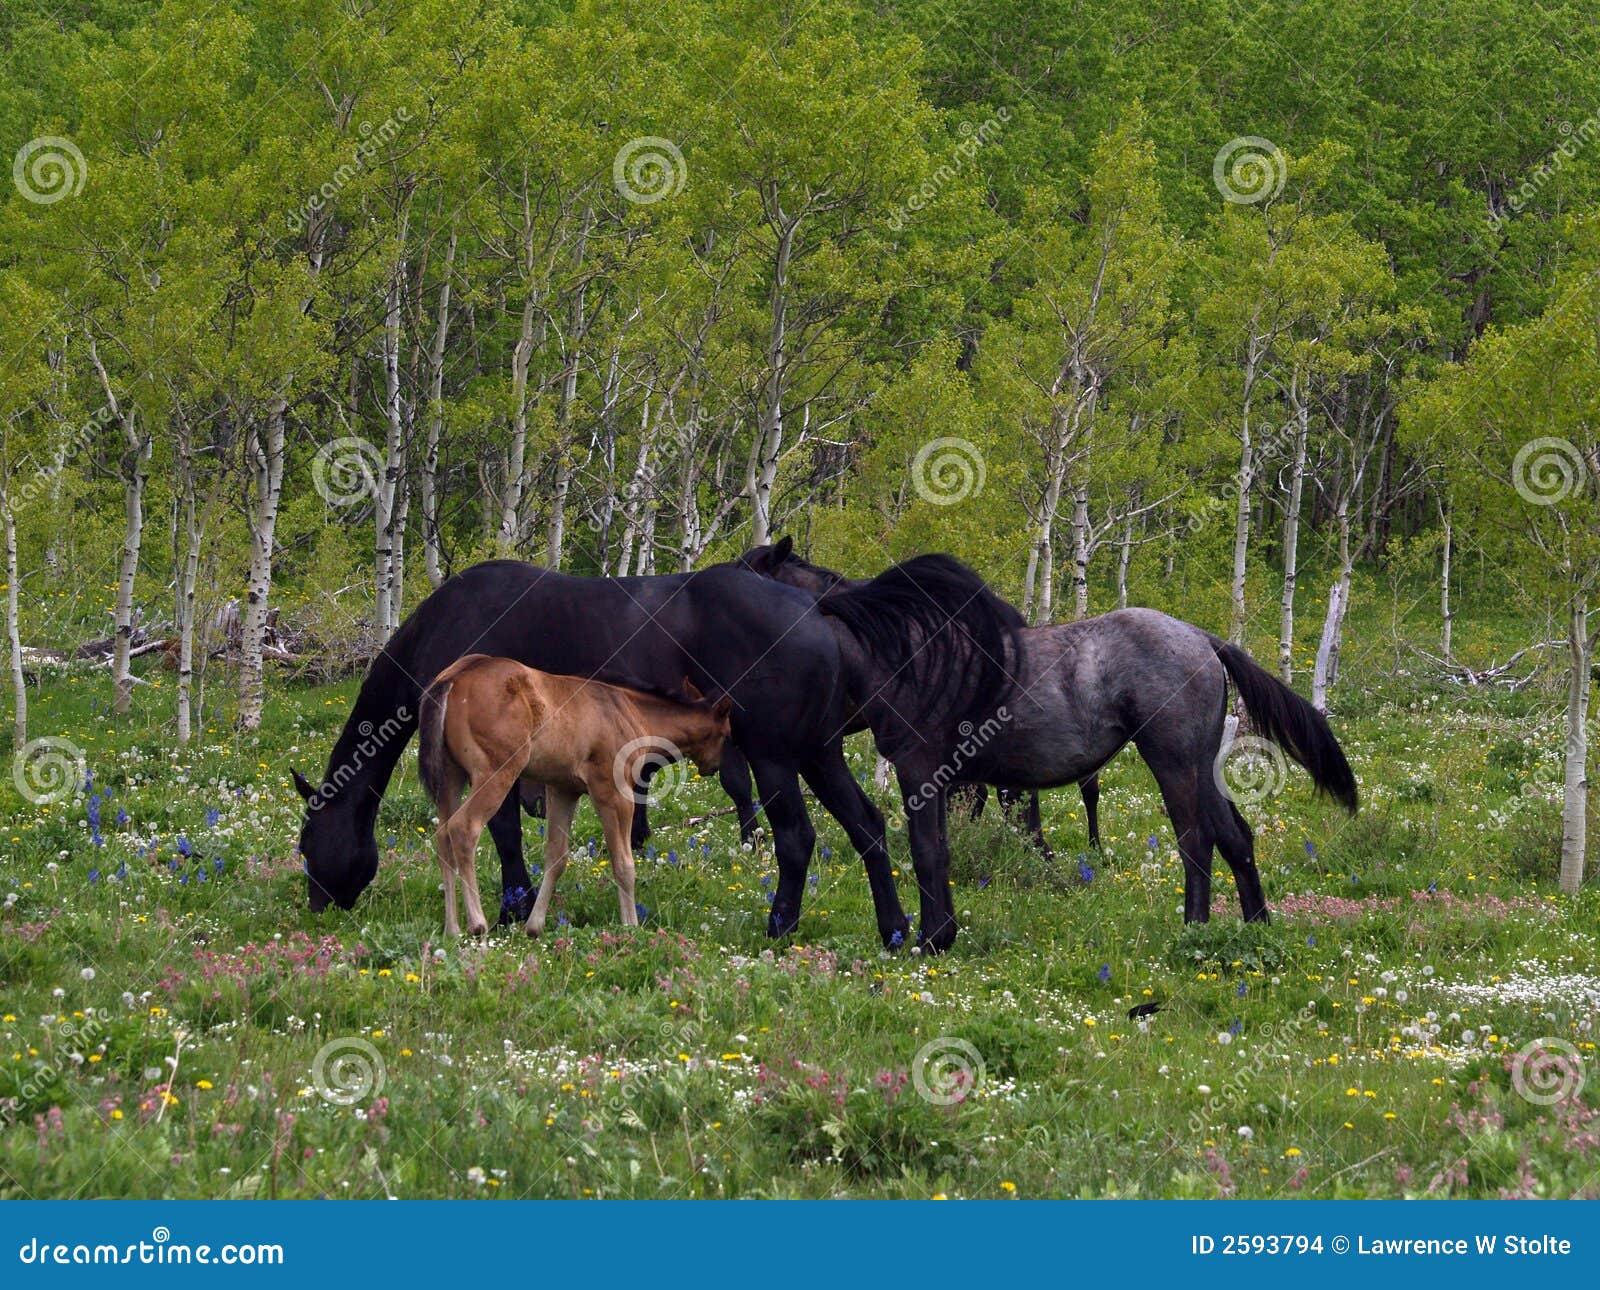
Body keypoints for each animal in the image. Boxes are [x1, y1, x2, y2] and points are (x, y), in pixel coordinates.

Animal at [416, 655, 732, 937]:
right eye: (726, 733)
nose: (713, 766)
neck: (632, 711)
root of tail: (451, 678)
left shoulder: (563, 790)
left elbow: (557, 857)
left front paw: (534, 926)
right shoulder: (612, 791)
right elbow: (624, 863)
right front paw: (630, 926)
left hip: (451, 777)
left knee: (443, 836)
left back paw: (452, 929)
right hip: (496, 772)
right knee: (463, 828)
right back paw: (476, 924)